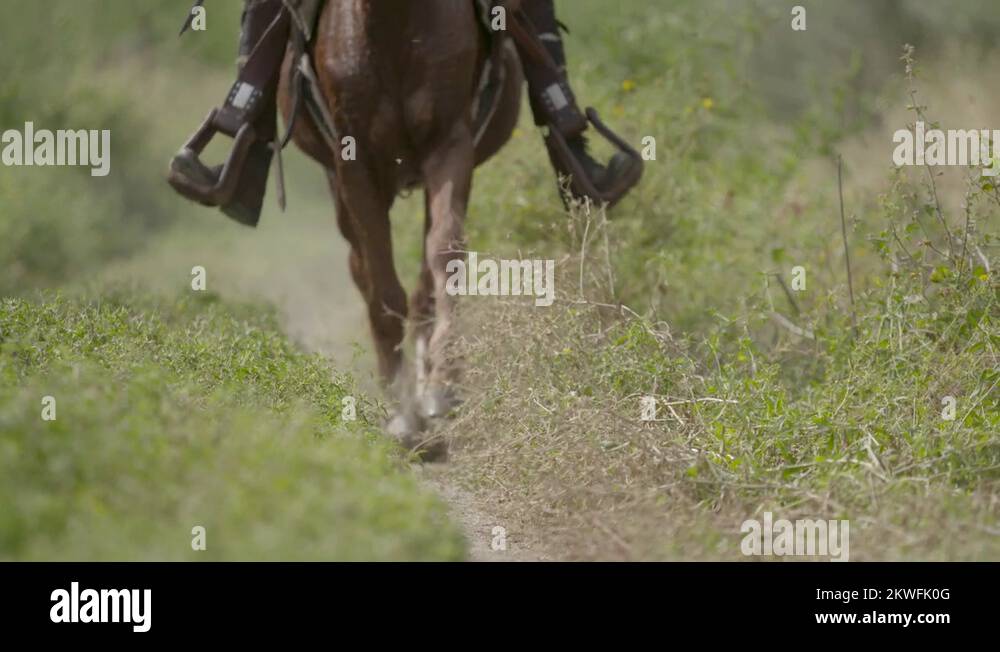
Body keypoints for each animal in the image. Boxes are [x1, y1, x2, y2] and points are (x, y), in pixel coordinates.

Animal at [277, 0, 523, 445]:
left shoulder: (450, 143)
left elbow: (445, 254)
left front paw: (441, 382)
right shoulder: (351, 162)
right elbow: (381, 286)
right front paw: (402, 414)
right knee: (360, 266)